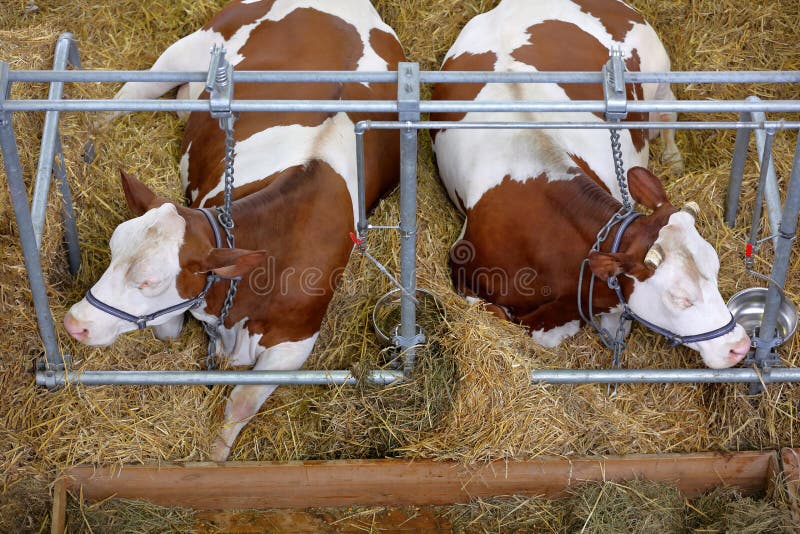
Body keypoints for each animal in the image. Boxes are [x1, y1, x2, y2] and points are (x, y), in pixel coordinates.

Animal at [63, 0, 405, 461]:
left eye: (150, 281)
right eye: (113, 251)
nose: (74, 323)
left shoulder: (296, 343)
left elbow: (241, 402)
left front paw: (215, 456)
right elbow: (171, 328)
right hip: (188, 50)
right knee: (123, 97)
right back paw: (88, 133)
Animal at [431, 0, 751, 368]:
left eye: (715, 268)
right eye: (680, 298)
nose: (740, 345)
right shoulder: (460, 267)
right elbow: (501, 314)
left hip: (660, 79)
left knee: (668, 117)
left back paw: (673, 158)